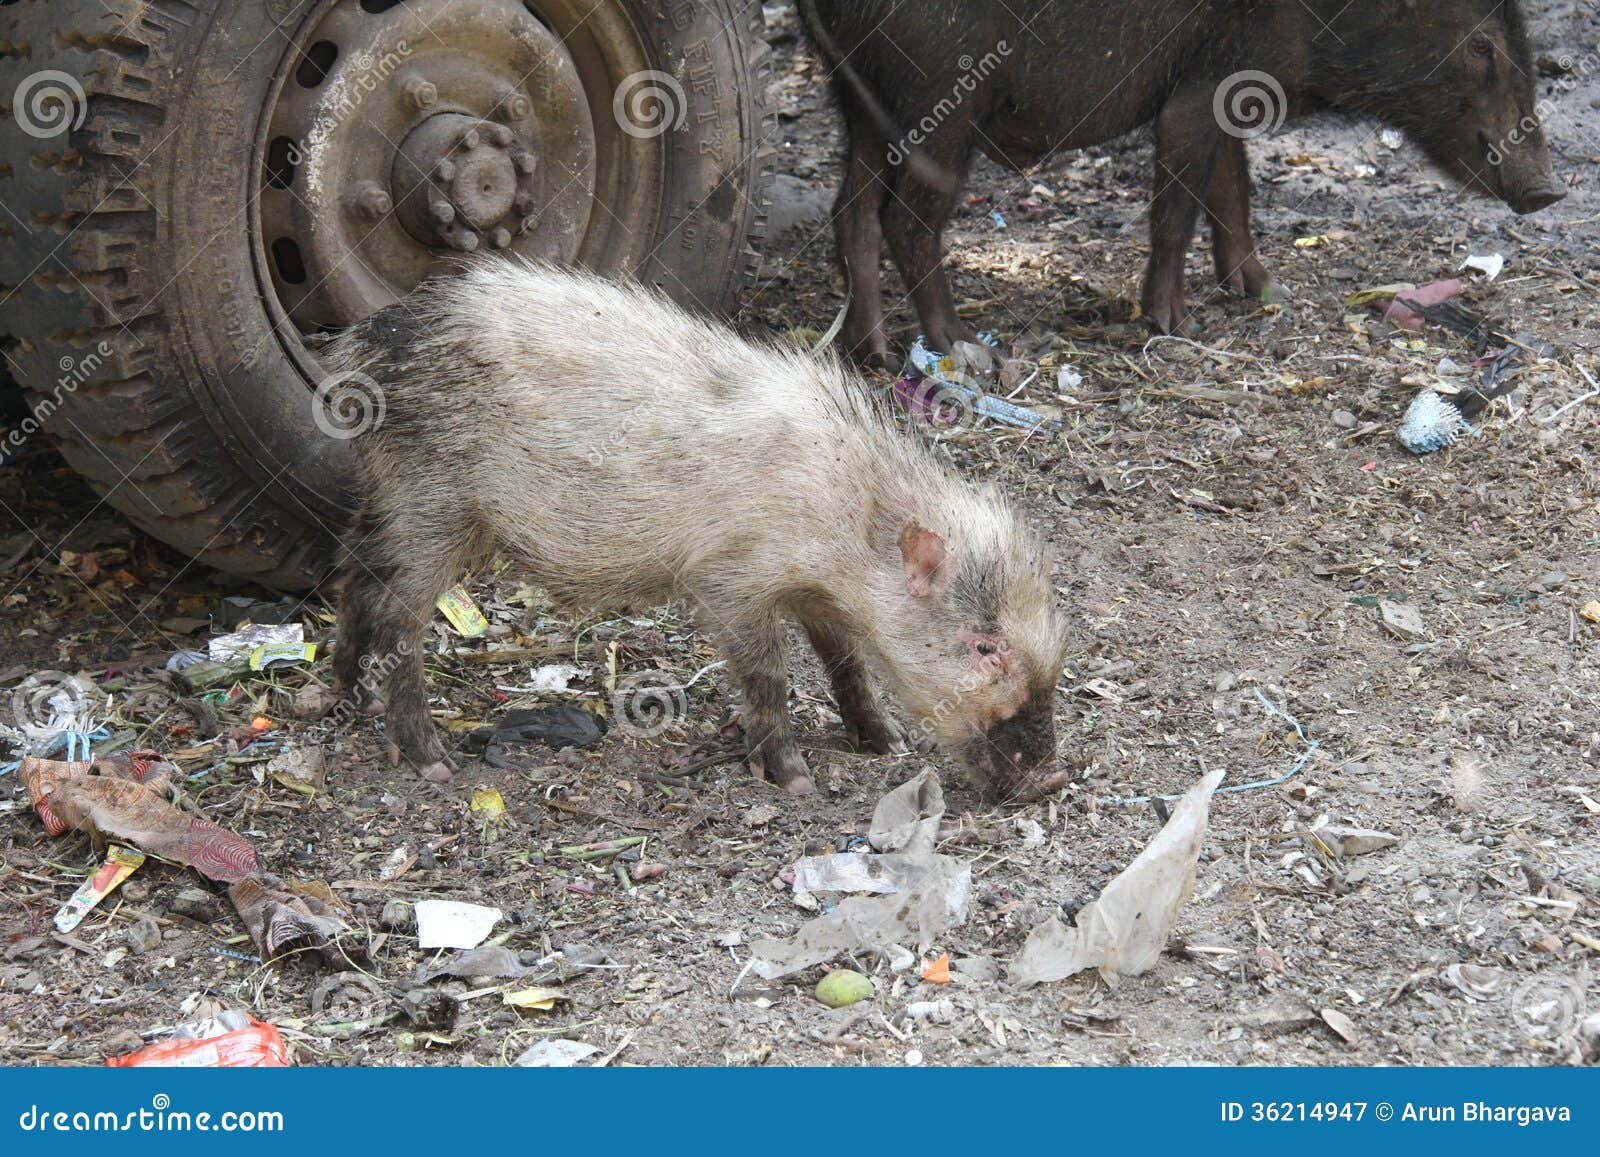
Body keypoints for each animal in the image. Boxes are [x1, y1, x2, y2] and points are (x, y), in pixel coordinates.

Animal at [322, 259, 1068, 802]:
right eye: (985, 647)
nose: (1052, 778)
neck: (847, 522)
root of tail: (357, 350)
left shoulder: (818, 594)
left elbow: (846, 663)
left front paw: (884, 743)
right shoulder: (730, 579)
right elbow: (768, 675)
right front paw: (797, 782)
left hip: (387, 495)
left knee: (353, 570)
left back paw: (344, 700)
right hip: (434, 504)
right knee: (396, 615)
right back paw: (433, 761)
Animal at [798, 0, 1565, 361]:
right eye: (1480, 44)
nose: (1550, 191)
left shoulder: (1230, 90)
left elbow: (1233, 191)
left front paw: (1268, 295)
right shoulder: (1197, 94)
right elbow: (1179, 208)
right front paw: (1174, 325)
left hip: (865, 105)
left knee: (850, 213)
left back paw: (871, 349)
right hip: (940, 106)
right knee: (908, 220)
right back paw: (965, 348)